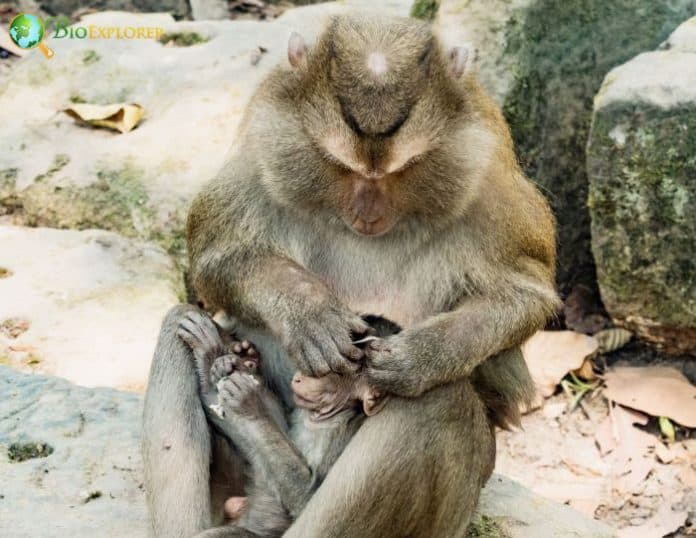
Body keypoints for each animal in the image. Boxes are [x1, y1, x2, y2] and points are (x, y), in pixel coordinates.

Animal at [143, 13, 559, 538]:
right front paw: (308, 314)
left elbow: (524, 294)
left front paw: (420, 356)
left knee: (435, 405)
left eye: (404, 169)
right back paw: (209, 360)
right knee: (178, 323)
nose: (367, 212)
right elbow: (218, 256)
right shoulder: (265, 145)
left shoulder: (489, 178)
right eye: (339, 164)